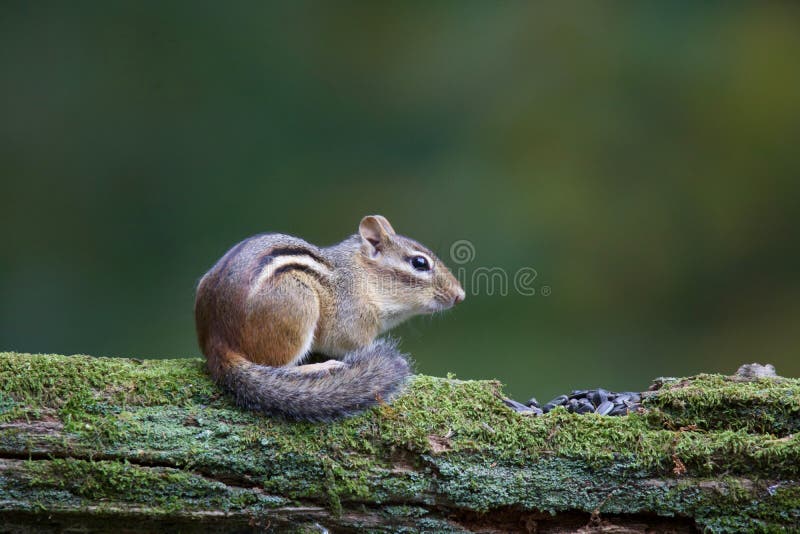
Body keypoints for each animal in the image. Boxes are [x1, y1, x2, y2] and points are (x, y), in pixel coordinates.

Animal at [194, 215, 465, 421]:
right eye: (419, 263)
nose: (460, 295)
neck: (364, 277)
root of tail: (217, 342)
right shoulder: (352, 325)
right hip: (298, 305)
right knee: (279, 366)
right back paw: (321, 366)